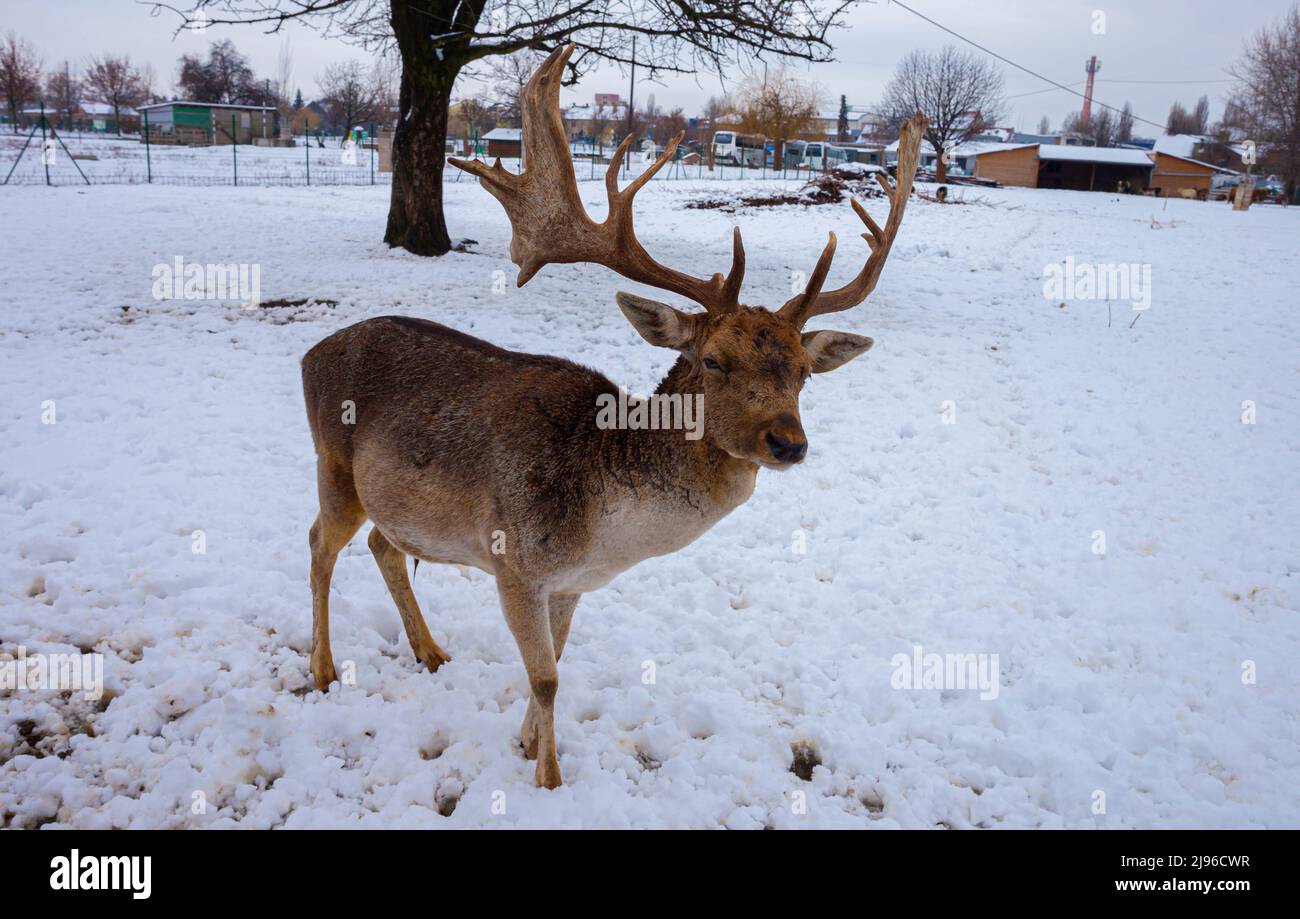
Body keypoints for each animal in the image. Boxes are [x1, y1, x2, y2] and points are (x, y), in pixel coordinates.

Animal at [301, 44, 926, 789]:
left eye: (803, 370)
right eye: (713, 360)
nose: (788, 442)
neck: (602, 531)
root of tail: (309, 353)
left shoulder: (571, 584)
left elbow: (557, 663)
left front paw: (524, 744)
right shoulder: (514, 563)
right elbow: (546, 678)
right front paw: (549, 779)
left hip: (388, 497)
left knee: (383, 543)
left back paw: (431, 651)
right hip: (332, 463)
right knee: (320, 543)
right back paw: (322, 668)